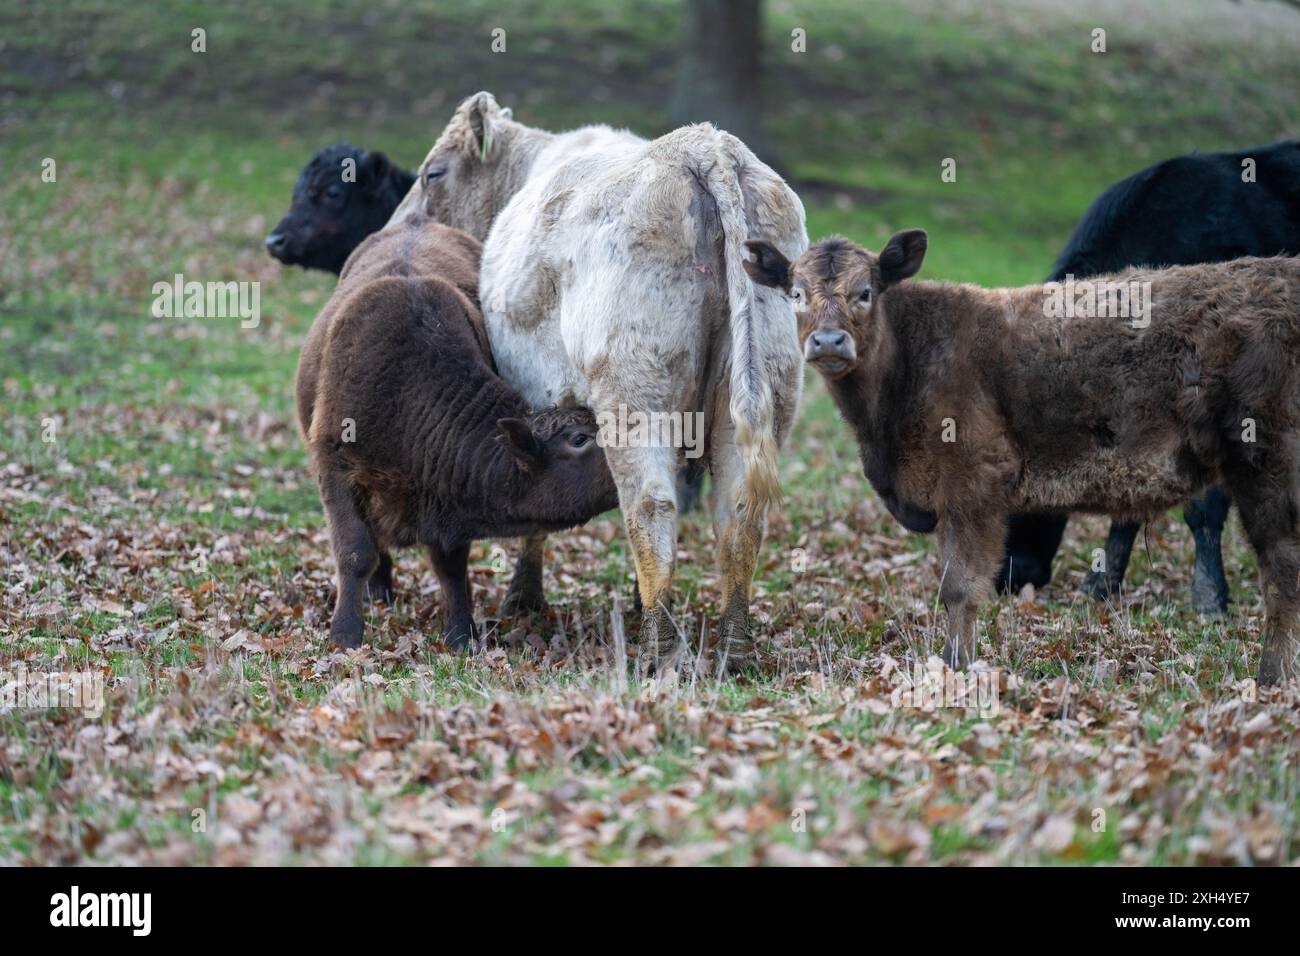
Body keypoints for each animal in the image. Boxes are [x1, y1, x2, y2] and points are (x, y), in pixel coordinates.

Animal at [406, 92, 808, 671]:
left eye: (433, 173)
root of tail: (701, 145)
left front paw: (523, 599)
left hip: (633, 389)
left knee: (650, 504)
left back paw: (656, 648)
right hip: (767, 386)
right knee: (737, 512)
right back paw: (733, 649)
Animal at [744, 231, 1300, 686]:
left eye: (866, 291)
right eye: (795, 293)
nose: (829, 341)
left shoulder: (975, 481)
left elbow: (960, 587)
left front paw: (956, 669)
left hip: (1268, 462)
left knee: (1282, 570)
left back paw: (1271, 677)